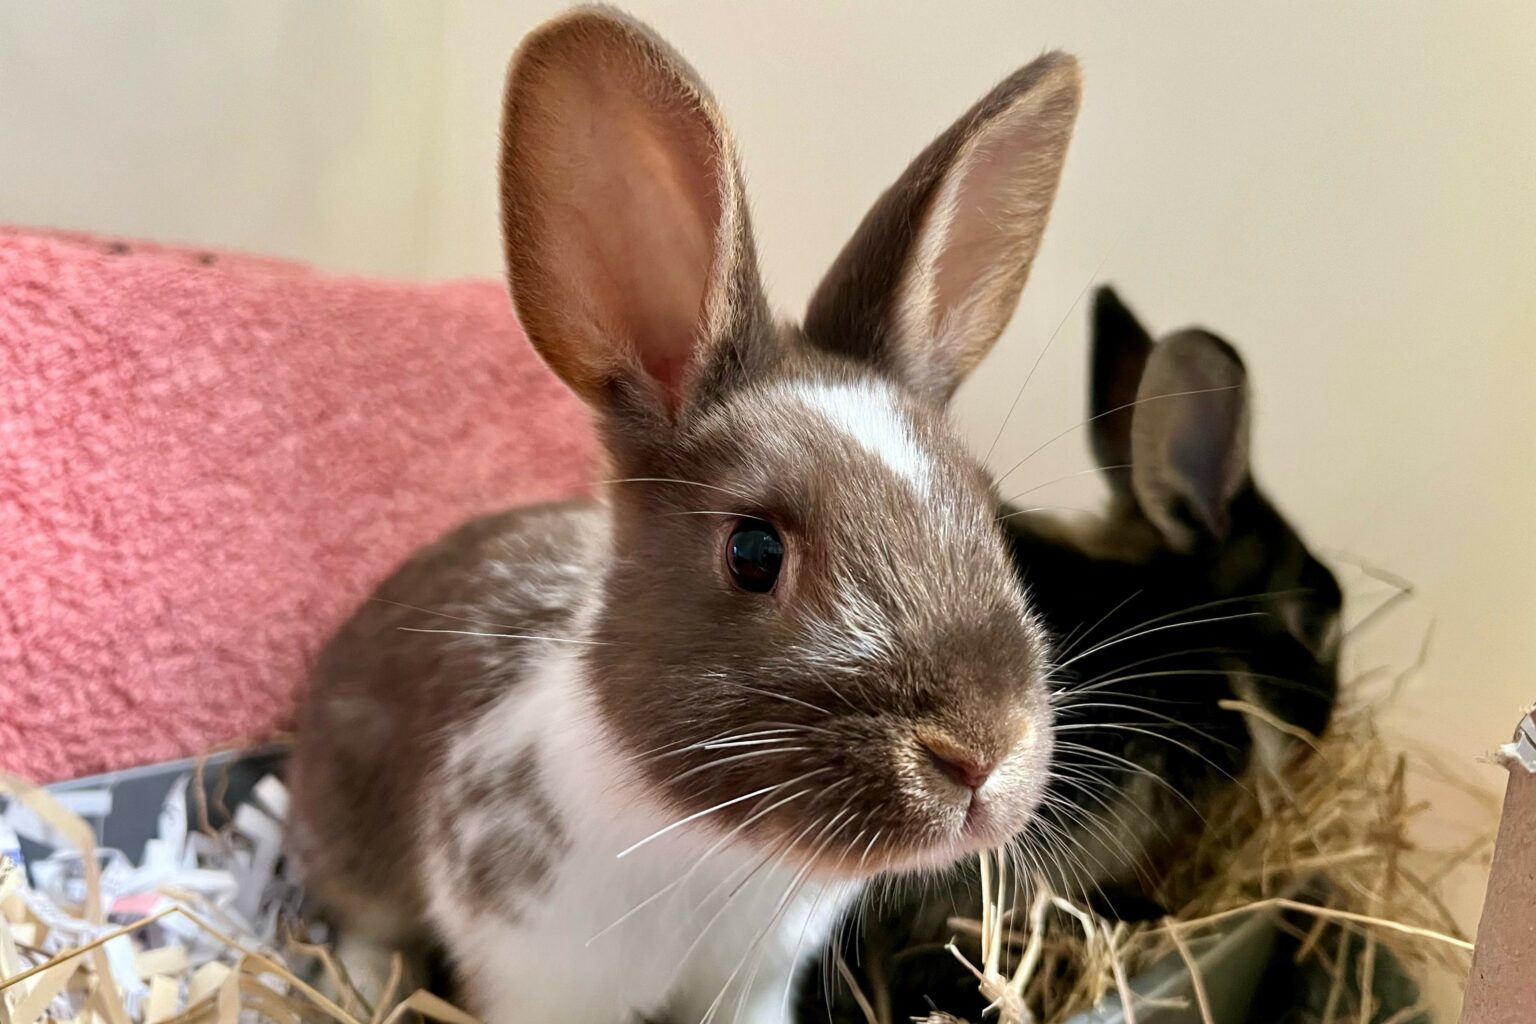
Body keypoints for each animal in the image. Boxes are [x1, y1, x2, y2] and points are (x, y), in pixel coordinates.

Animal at [288, 7, 1084, 1024]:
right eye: (752, 552)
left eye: (989, 508)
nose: (980, 754)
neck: (714, 847)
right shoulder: (541, 977)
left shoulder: (756, 982)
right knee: (363, 921)